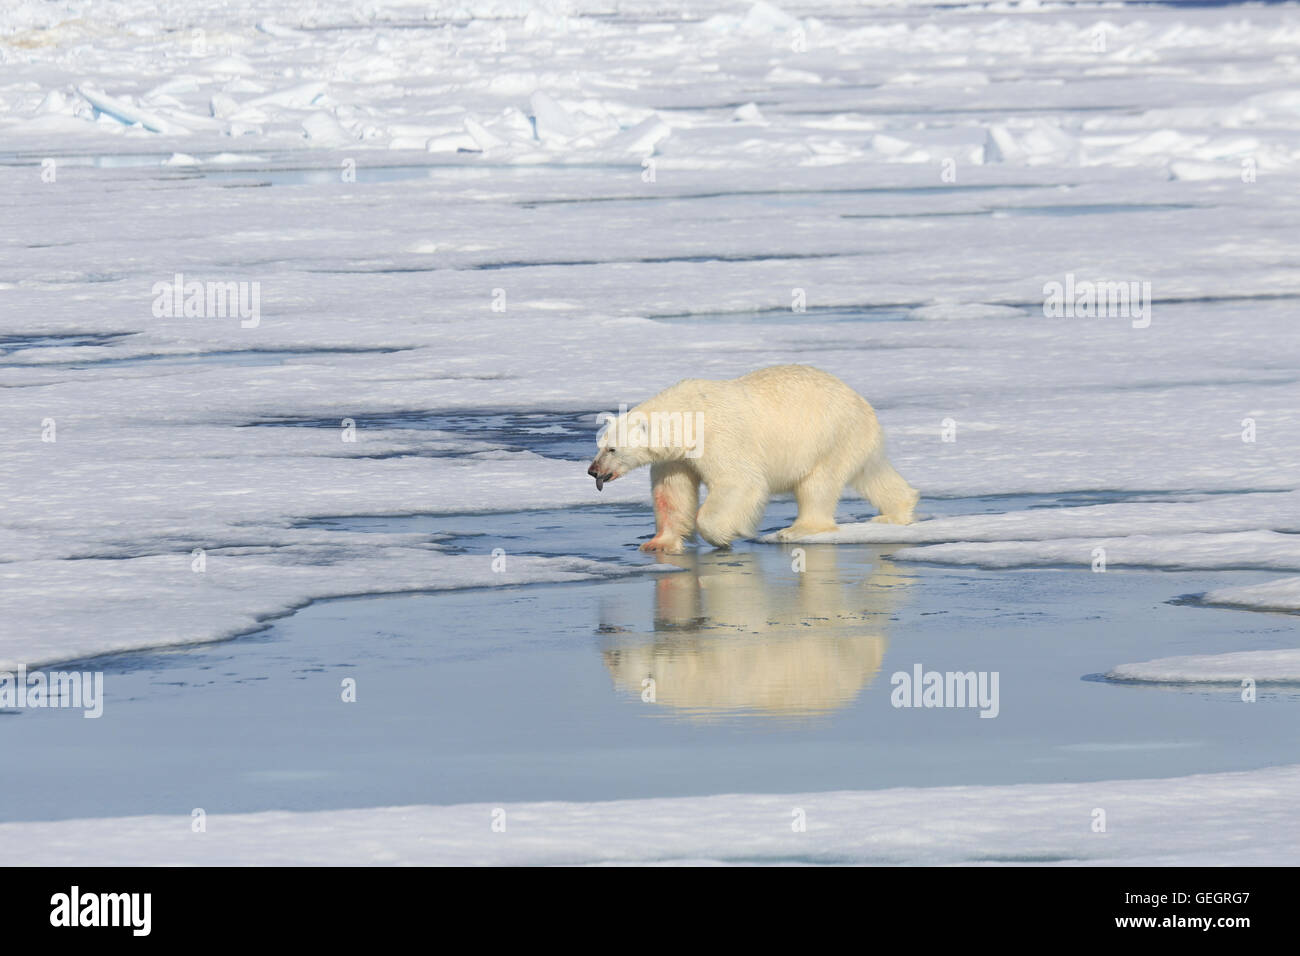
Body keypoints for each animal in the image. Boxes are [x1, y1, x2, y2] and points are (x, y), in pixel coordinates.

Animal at [587, 364, 919, 553]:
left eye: (611, 449)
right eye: (600, 444)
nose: (593, 471)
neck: (687, 416)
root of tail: (862, 403)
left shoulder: (719, 437)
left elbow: (739, 482)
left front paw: (724, 535)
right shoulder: (676, 456)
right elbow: (672, 493)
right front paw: (658, 543)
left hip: (828, 436)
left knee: (817, 485)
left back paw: (797, 529)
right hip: (852, 440)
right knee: (871, 472)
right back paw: (896, 512)